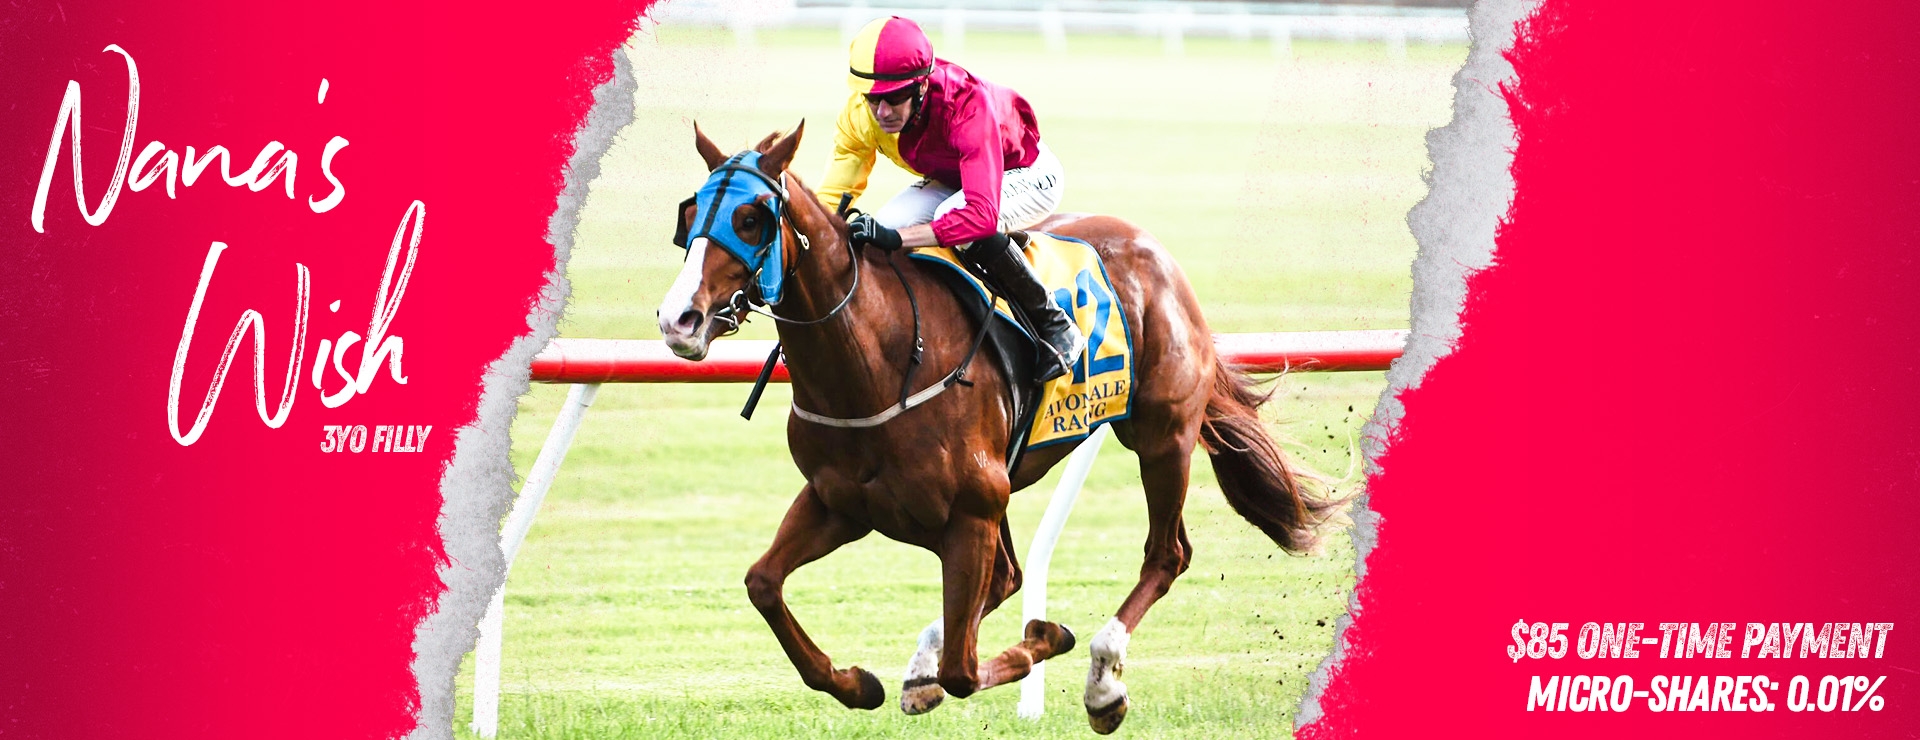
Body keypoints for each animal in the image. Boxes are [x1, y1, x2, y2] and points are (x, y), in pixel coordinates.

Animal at [655, 123, 1341, 734]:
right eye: (690, 214)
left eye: (751, 219)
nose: (678, 319)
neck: (877, 358)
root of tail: (1154, 251)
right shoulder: (840, 502)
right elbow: (763, 584)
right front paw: (857, 682)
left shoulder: (970, 510)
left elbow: (965, 670)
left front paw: (1047, 637)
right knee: (1009, 576)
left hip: (1161, 435)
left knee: (1165, 554)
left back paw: (1102, 680)